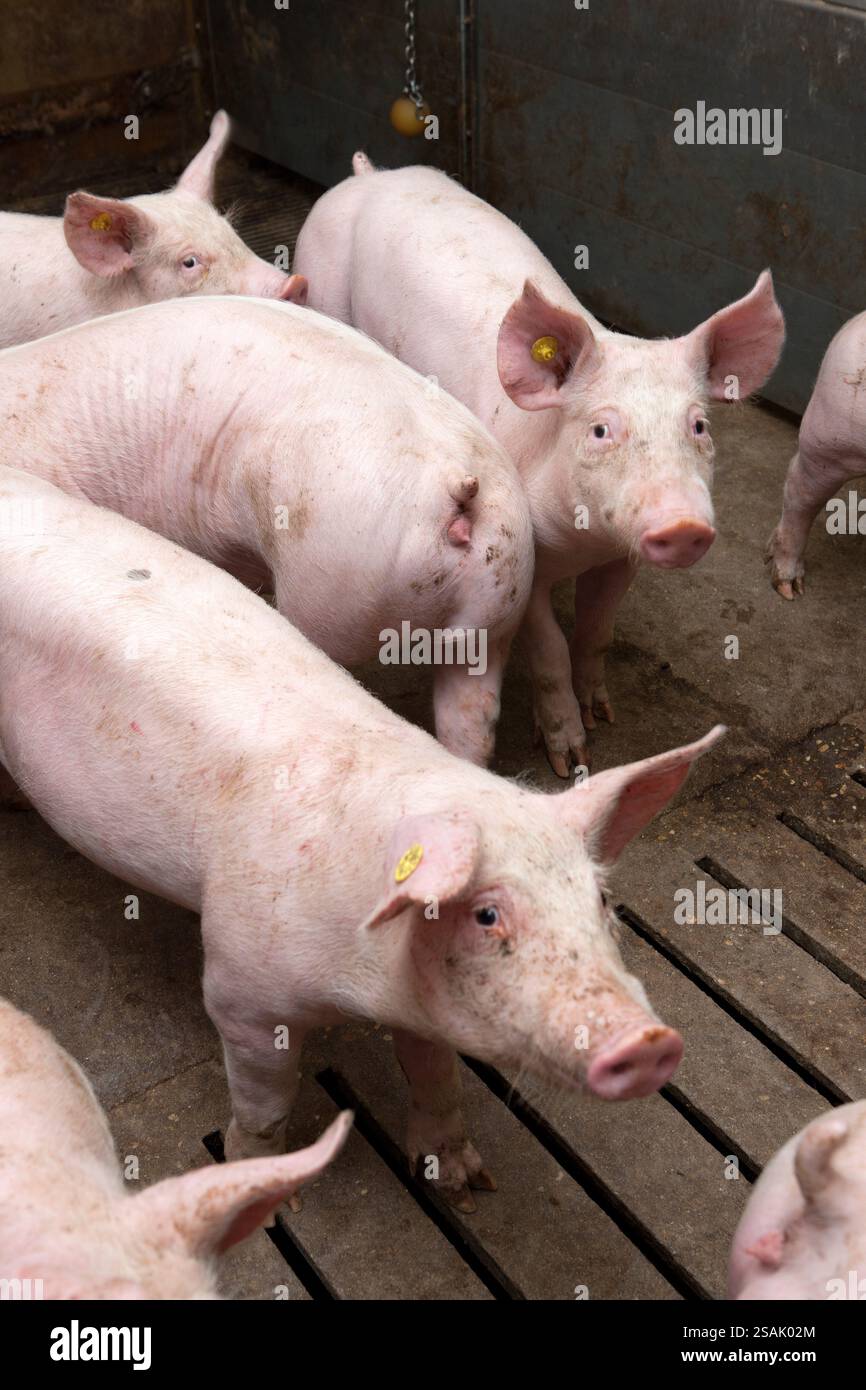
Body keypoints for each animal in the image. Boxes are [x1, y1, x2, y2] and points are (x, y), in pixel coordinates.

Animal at [0, 468, 722, 1209]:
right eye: (487, 914)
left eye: (601, 902)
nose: (649, 1039)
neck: (367, 975)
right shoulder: (239, 987)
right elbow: (266, 1103)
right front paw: (276, 1194)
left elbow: (433, 1069)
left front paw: (466, 1184)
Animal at [294, 158, 785, 775]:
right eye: (600, 430)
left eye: (698, 426)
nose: (683, 525)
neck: (587, 542)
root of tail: (368, 174)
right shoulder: (527, 566)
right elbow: (549, 652)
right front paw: (570, 758)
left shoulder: (619, 559)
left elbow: (597, 630)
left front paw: (604, 716)